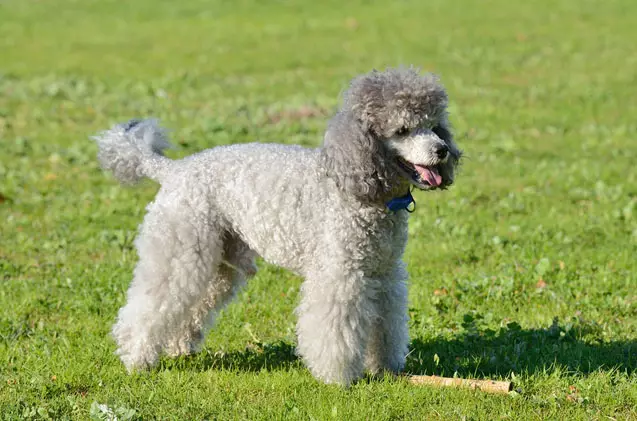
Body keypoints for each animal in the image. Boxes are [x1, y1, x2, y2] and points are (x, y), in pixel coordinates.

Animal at [94, 66, 460, 384]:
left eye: (434, 125)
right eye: (402, 131)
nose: (442, 150)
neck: (362, 189)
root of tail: (172, 170)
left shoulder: (384, 273)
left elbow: (387, 324)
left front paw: (385, 368)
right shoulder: (340, 274)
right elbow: (335, 328)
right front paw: (337, 377)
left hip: (219, 259)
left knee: (193, 303)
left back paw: (177, 347)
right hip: (181, 248)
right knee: (151, 303)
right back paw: (136, 359)